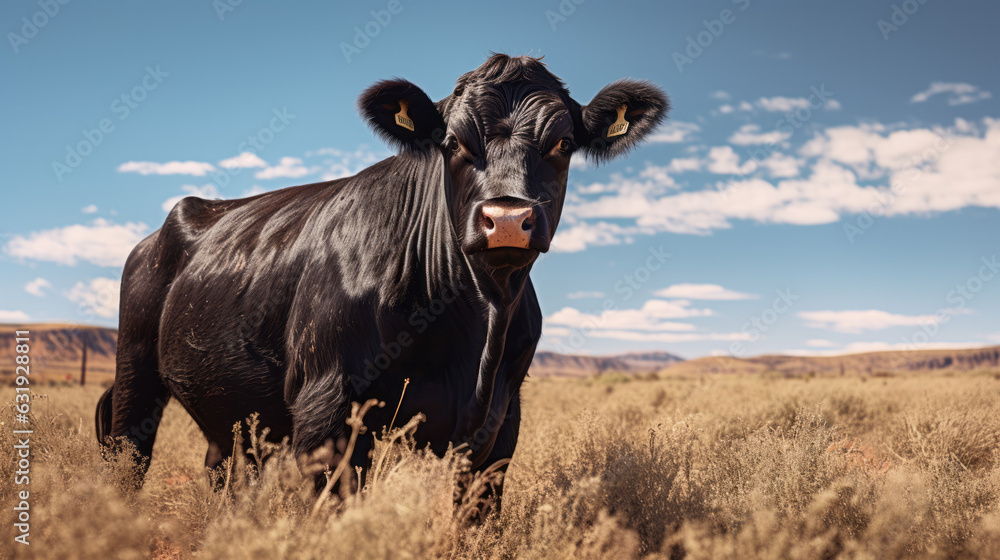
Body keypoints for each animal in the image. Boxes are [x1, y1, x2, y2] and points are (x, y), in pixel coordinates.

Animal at [96, 54, 668, 501]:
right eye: (453, 142)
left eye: (563, 143)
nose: (506, 218)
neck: (478, 322)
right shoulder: (325, 410)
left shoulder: (501, 425)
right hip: (136, 372)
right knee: (127, 452)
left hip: (229, 409)